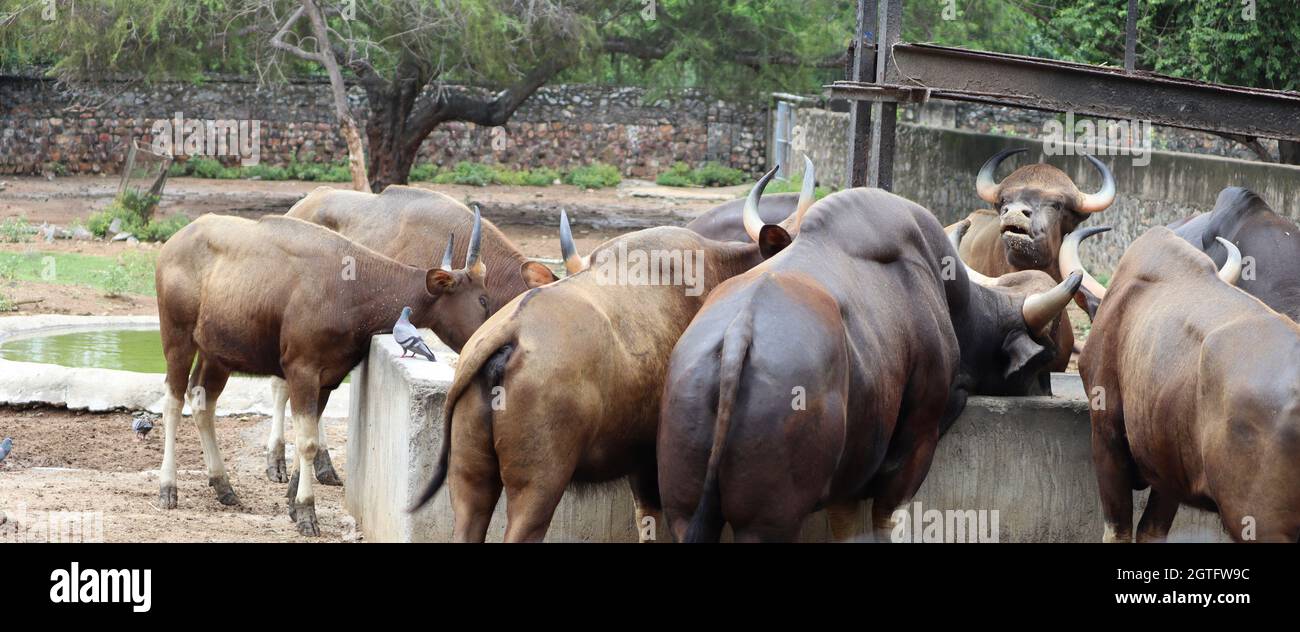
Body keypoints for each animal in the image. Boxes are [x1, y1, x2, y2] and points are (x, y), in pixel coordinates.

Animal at [154, 213, 489, 535]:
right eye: (483, 299)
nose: (483, 336)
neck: (354, 290)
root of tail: (172, 244)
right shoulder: (302, 368)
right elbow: (307, 443)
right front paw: (306, 512)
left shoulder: (327, 377)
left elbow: (310, 433)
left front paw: (292, 502)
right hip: (177, 338)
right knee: (172, 403)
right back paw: (168, 488)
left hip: (216, 353)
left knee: (202, 401)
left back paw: (223, 485)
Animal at [657, 187, 1090, 542]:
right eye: (1046, 352)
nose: (1047, 389)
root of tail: (737, 337)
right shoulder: (918, 437)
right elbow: (885, 517)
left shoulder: (851, 470)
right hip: (766, 525)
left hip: (683, 510)